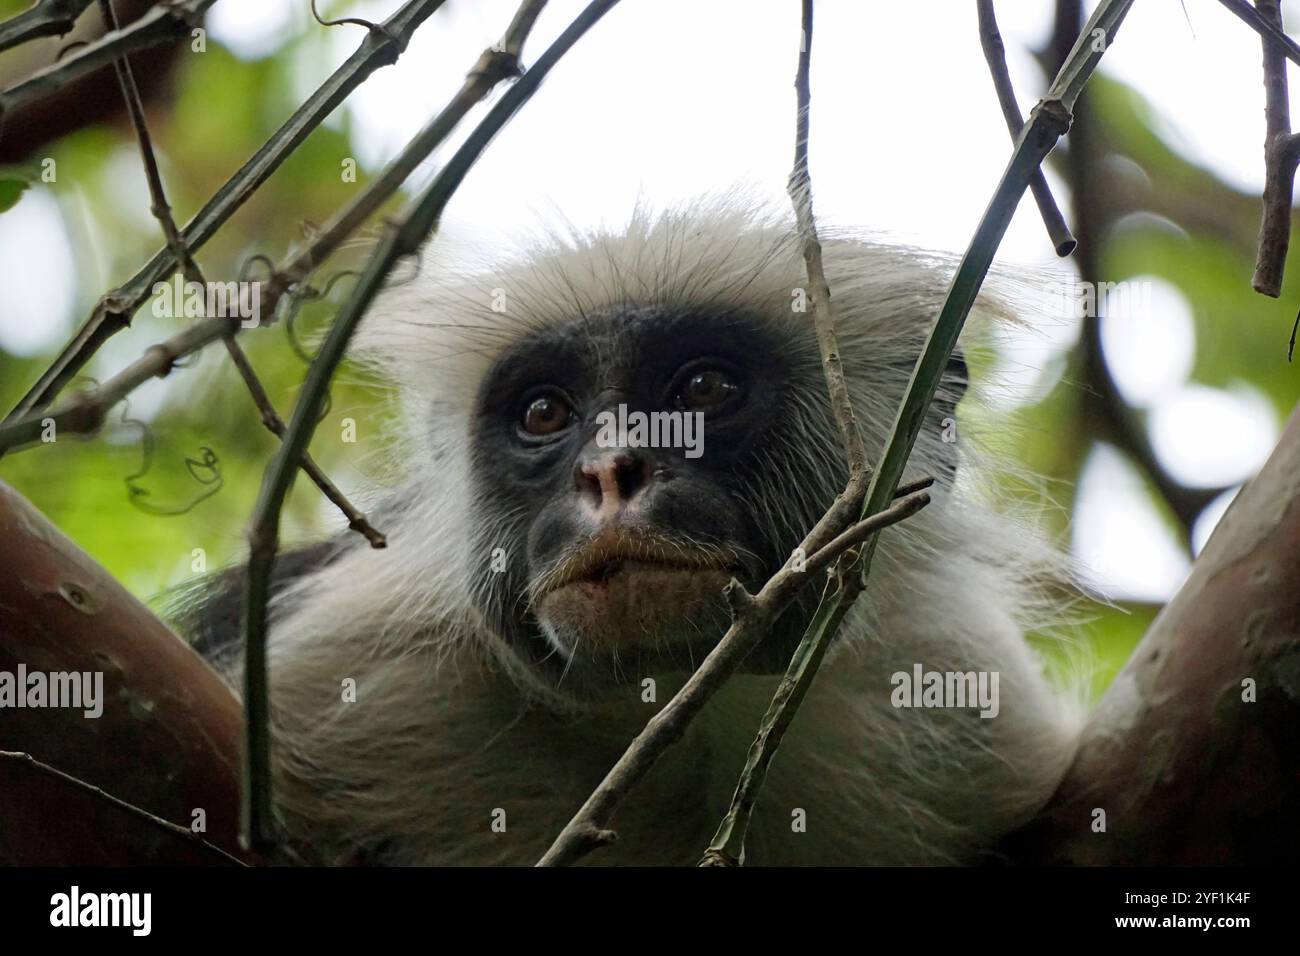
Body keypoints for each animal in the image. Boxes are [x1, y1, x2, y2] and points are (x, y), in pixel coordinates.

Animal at [175, 199, 1084, 866]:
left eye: (702, 390)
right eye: (545, 412)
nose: (611, 473)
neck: (670, 715)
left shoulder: (967, 700)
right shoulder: (343, 657)